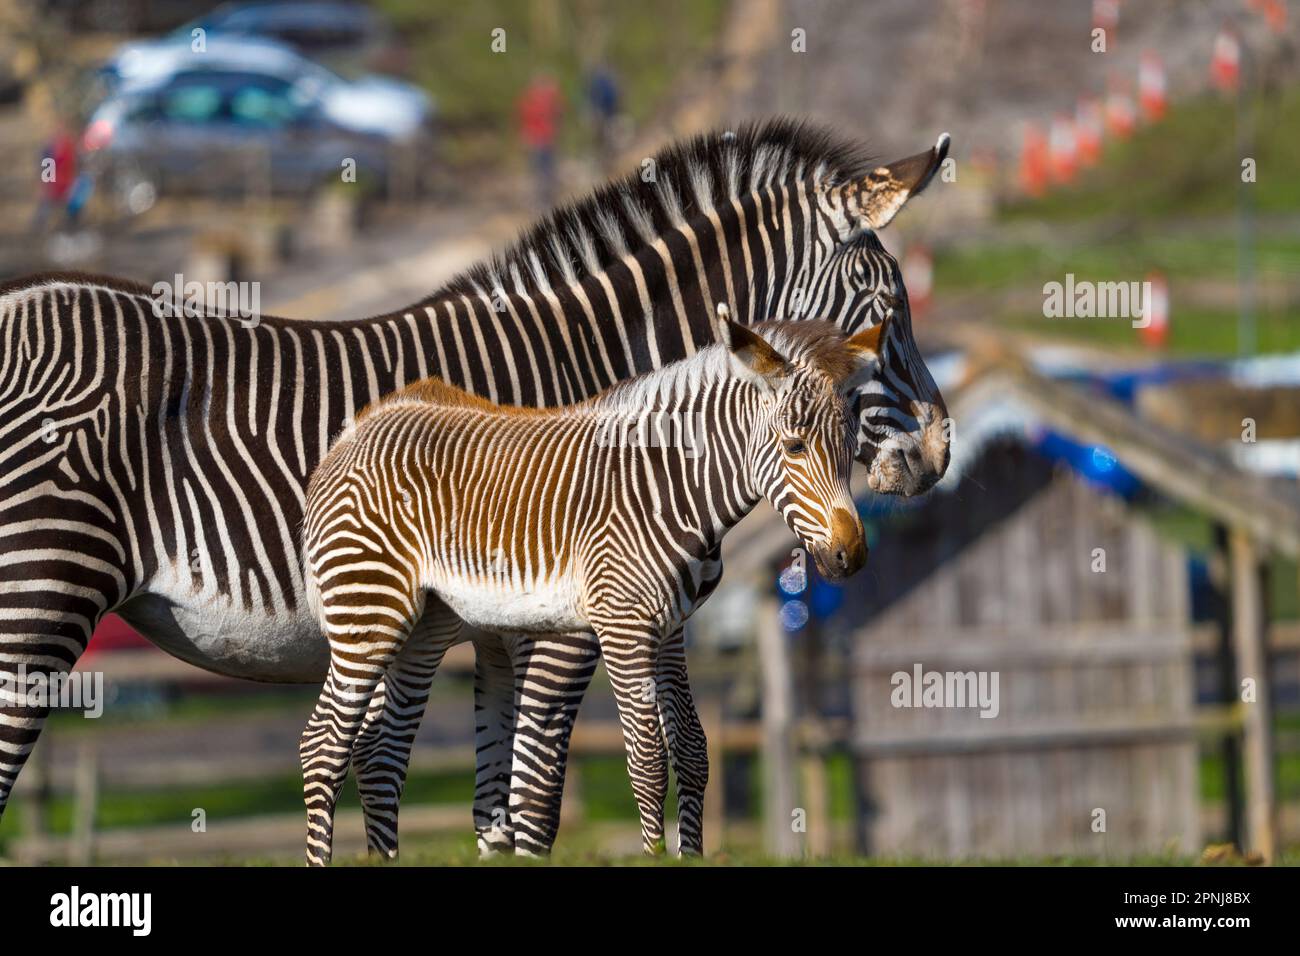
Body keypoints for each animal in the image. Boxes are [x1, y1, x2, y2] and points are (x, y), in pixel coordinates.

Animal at [300, 311, 876, 865]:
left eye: (852, 449)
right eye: (794, 447)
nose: (851, 557)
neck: (670, 489)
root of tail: (359, 428)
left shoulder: (672, 630)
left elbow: (693, 750)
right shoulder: (622, 623)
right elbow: (647, 760)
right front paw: (653, 857)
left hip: (424, 626)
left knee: (379, 755)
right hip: (368, 610)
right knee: (321, 745)